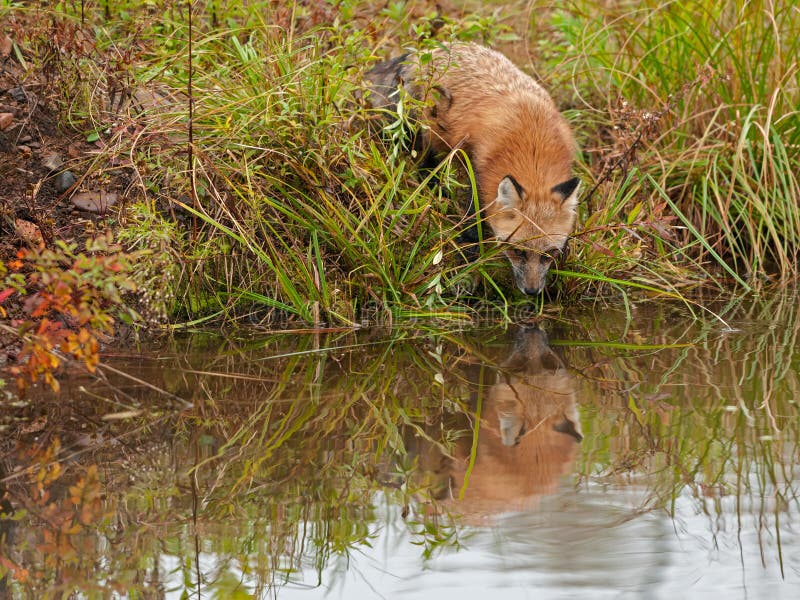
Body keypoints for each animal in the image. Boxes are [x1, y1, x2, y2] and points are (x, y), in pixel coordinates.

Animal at [366, 43, 580, 295]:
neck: (533, 143)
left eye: (548, 255)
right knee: (424, 165)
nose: (532, 291)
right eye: (518, 251)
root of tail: (425, 51)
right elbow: (472, 215)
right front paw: (469, 255)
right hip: (425, 132)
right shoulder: (475, 165)